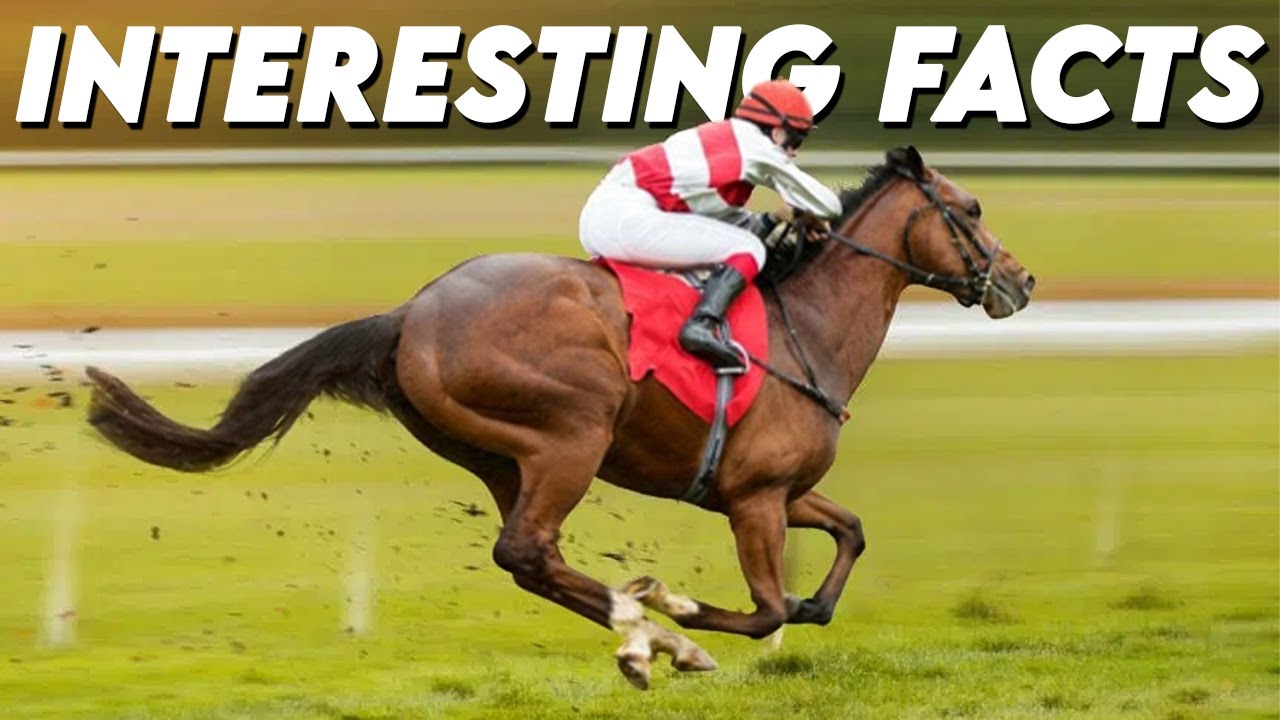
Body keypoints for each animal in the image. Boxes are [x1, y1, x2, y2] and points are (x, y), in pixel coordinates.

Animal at [84, 146, 1035, 690]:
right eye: (972, 211)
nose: (1021, 281)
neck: (810, 327)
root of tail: (410, 312)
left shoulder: (773, 489)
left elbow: (848, 539)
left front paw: (789, 606)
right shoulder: (756, 498)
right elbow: (767, 610)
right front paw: (689, 619)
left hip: (499, 456)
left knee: (530, 559)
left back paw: (641, 632)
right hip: (573, 433)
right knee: (528, 550)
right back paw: (657, 634)